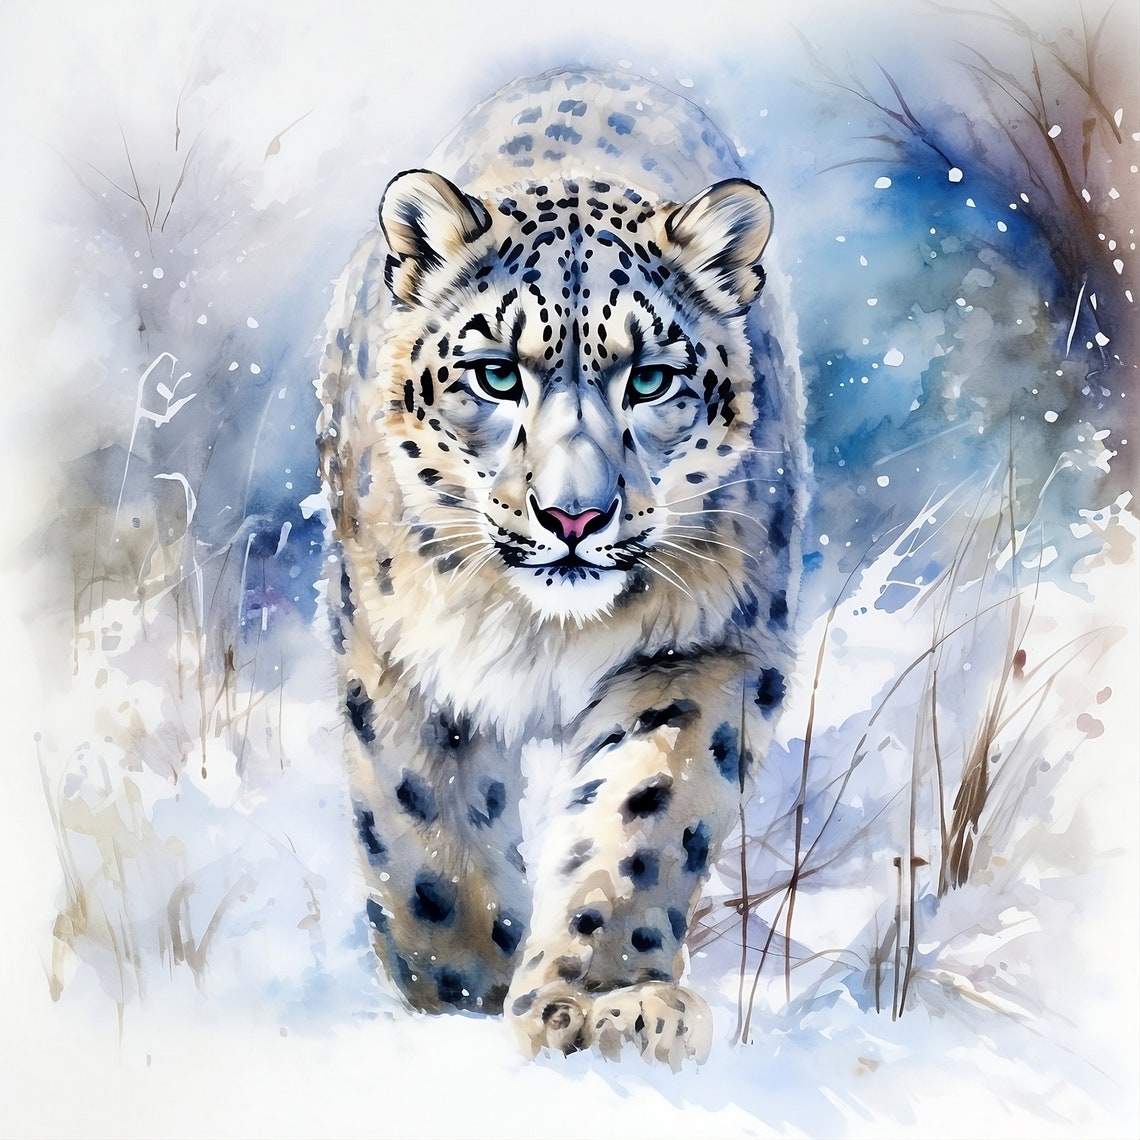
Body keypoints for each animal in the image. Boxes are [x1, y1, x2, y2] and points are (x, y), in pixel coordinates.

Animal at [316, 67, 806, 1067]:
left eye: (650, 378)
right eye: (497, 373)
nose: (573, 514)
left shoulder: (705, 653)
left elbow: (641, 816)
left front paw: (606, 1000)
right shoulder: (397, 656)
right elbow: (422, 826)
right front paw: (462, 984)